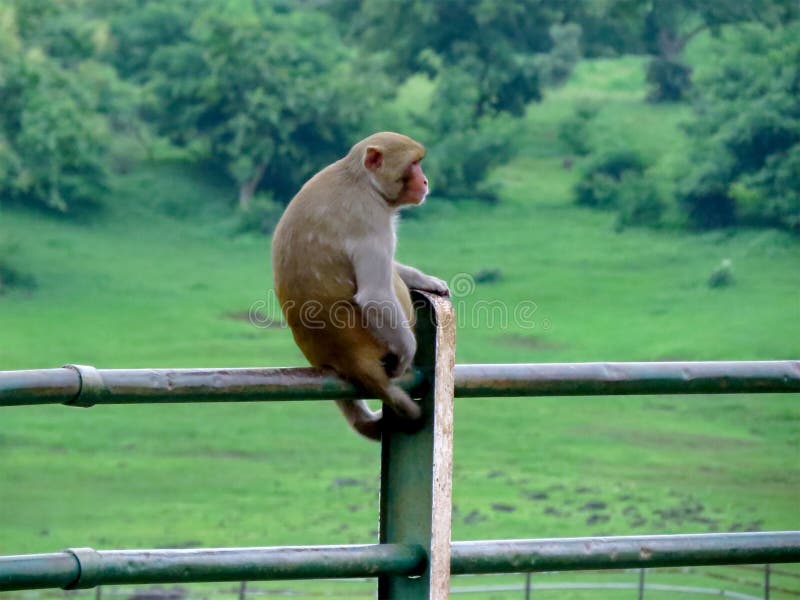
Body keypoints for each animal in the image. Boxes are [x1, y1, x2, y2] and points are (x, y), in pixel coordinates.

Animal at [271, 132, 449, 441]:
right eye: (414, 164)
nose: (425, 181)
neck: (362, 180)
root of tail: (351, 359)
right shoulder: (370, 217)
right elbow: (374, 295)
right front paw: (408, 352)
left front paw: (425, 279)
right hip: (375, 343)